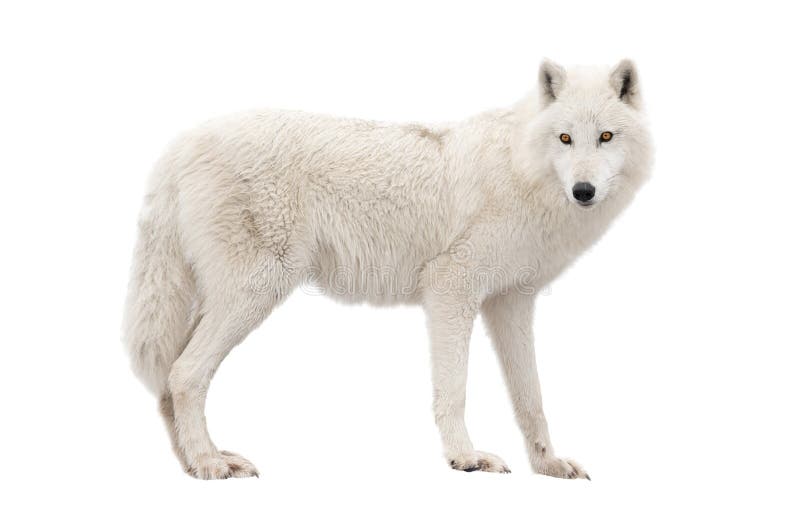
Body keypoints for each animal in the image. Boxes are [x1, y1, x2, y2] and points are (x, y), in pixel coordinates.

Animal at [123, 59, 653, 480]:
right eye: (565, 138)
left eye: (605, 137)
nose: (583, 191)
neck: (522, 170)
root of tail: (182, 142)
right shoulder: (451, 289)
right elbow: (454, 389)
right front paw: (465, 457)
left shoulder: (511, 303)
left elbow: (532, 398)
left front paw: (548, 465)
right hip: (253, 293)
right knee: (184, 374)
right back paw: (209, 464)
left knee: (169, 378)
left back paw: (195, 462)